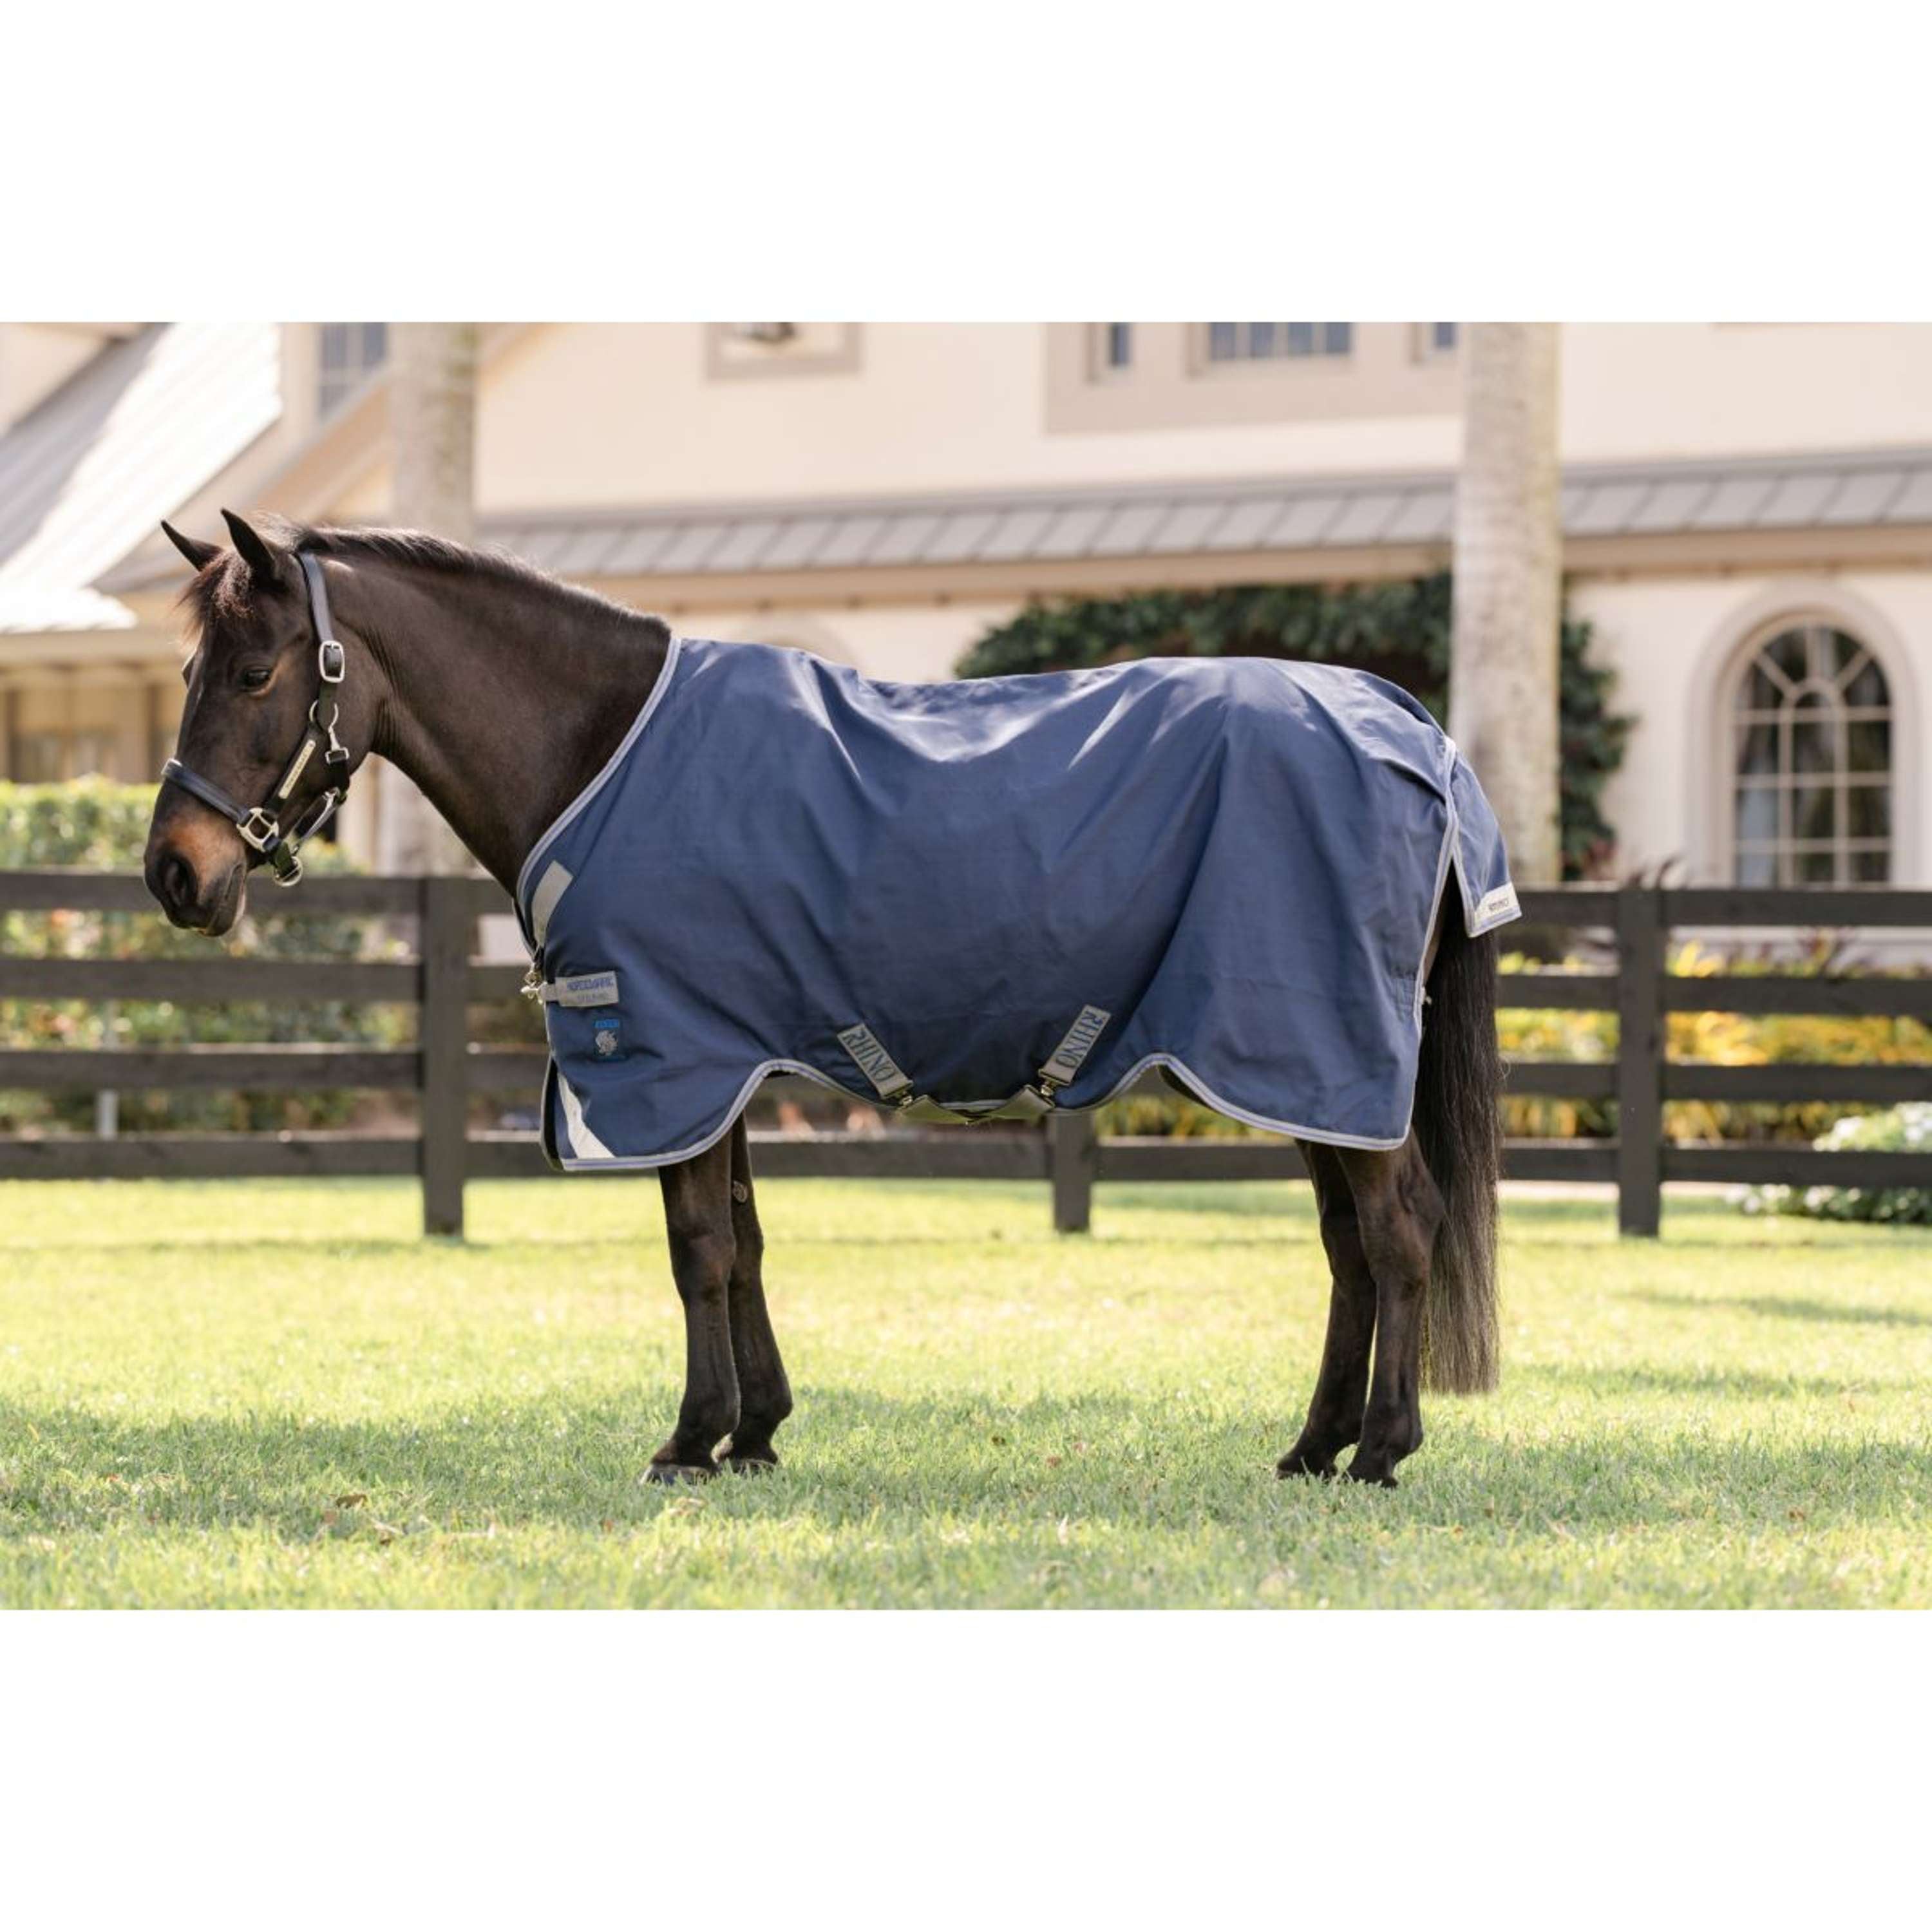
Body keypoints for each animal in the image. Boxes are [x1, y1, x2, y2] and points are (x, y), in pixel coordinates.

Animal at [143, 510, 1506, 1487]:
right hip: (1304, 1072)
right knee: (1349, 1247)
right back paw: (1315, 1448)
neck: (597, 748)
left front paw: (690, 1441)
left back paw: (1381, 1452)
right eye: (190, 669)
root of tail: (1413, 730)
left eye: (255, 671)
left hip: (1317, 1048)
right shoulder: (726, 1064)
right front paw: (756, 1432)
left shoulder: (671, 1056)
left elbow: (696, 1251)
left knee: (1398, 1233)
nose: (173, 873)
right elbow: (742, 1243)